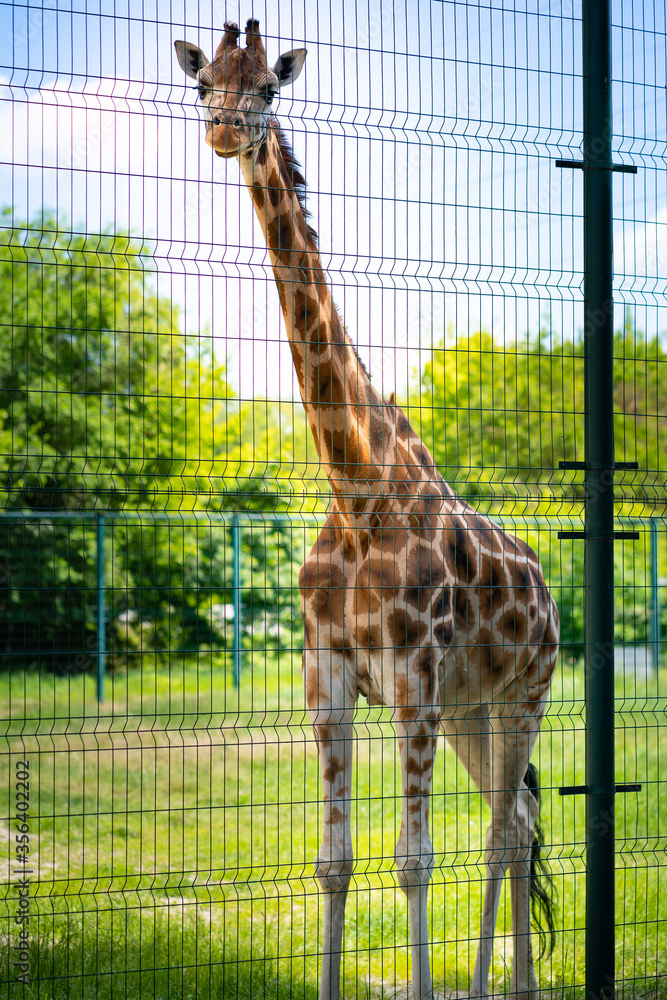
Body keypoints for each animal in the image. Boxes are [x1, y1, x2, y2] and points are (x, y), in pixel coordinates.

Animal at [175, 20, 559, 1000]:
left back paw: (503, 985)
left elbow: (413, 861)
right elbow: (335, 863)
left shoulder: (415, 678)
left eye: (268, 88)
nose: (224, 132)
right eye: (203, 86)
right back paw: (500, 982)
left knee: (505, 829)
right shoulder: (330, 677)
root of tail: (547, 590)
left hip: (524, 691)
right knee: (519, 817)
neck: (356, 490)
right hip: (472, 708)